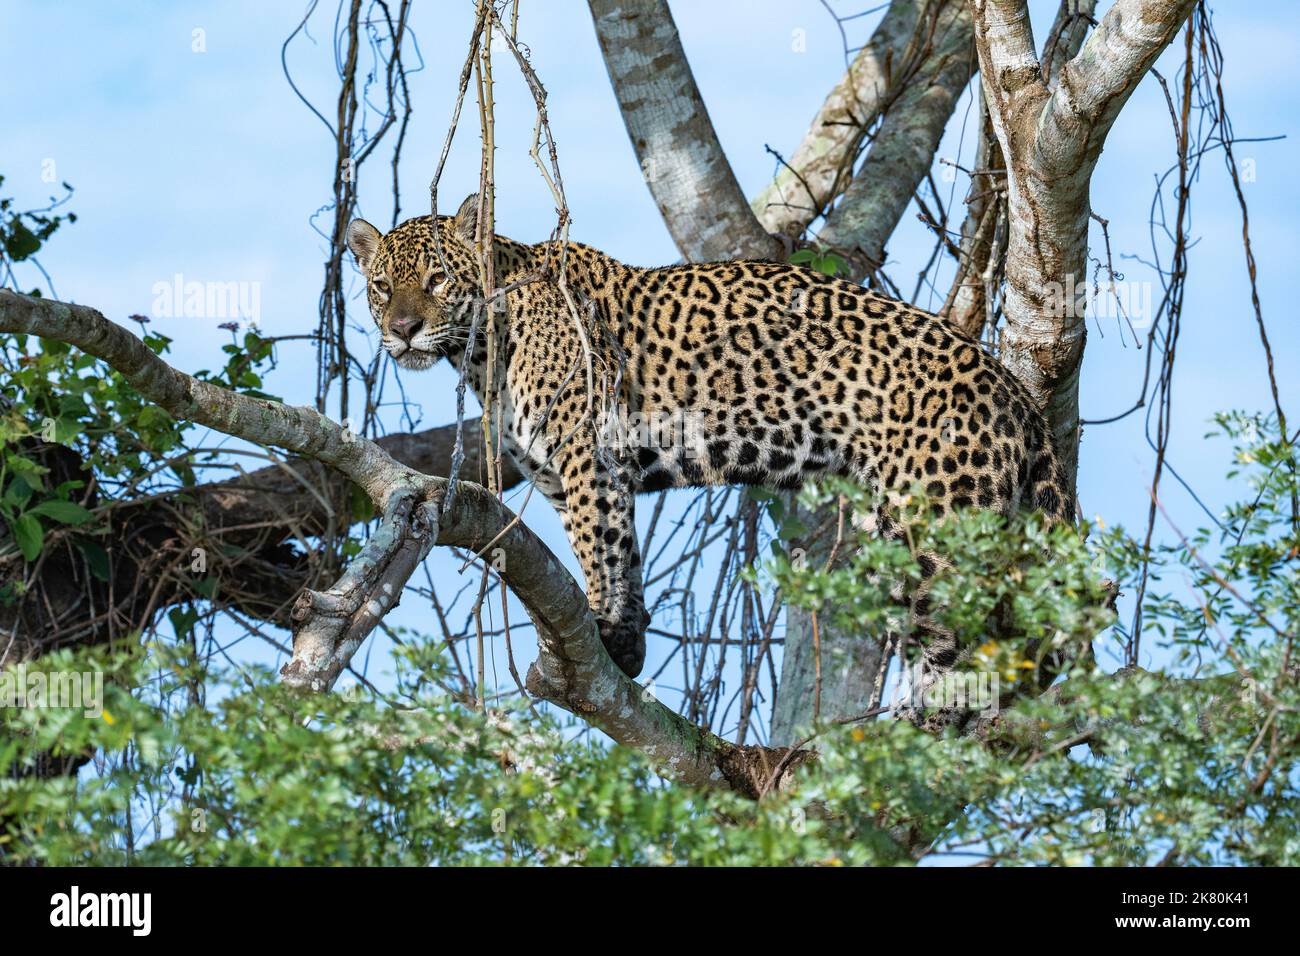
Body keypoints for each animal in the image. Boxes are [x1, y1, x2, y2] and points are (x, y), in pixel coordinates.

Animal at [346, 194, 1074, 703]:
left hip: (937, 526)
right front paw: (626, 643)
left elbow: (596, 545)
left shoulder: (586, 457)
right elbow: (621, 547)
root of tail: (1009, 385)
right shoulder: (570, 475)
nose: (402, 329)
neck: (483, 352)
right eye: (381, 286)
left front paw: (601, 627)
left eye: (437, 280)